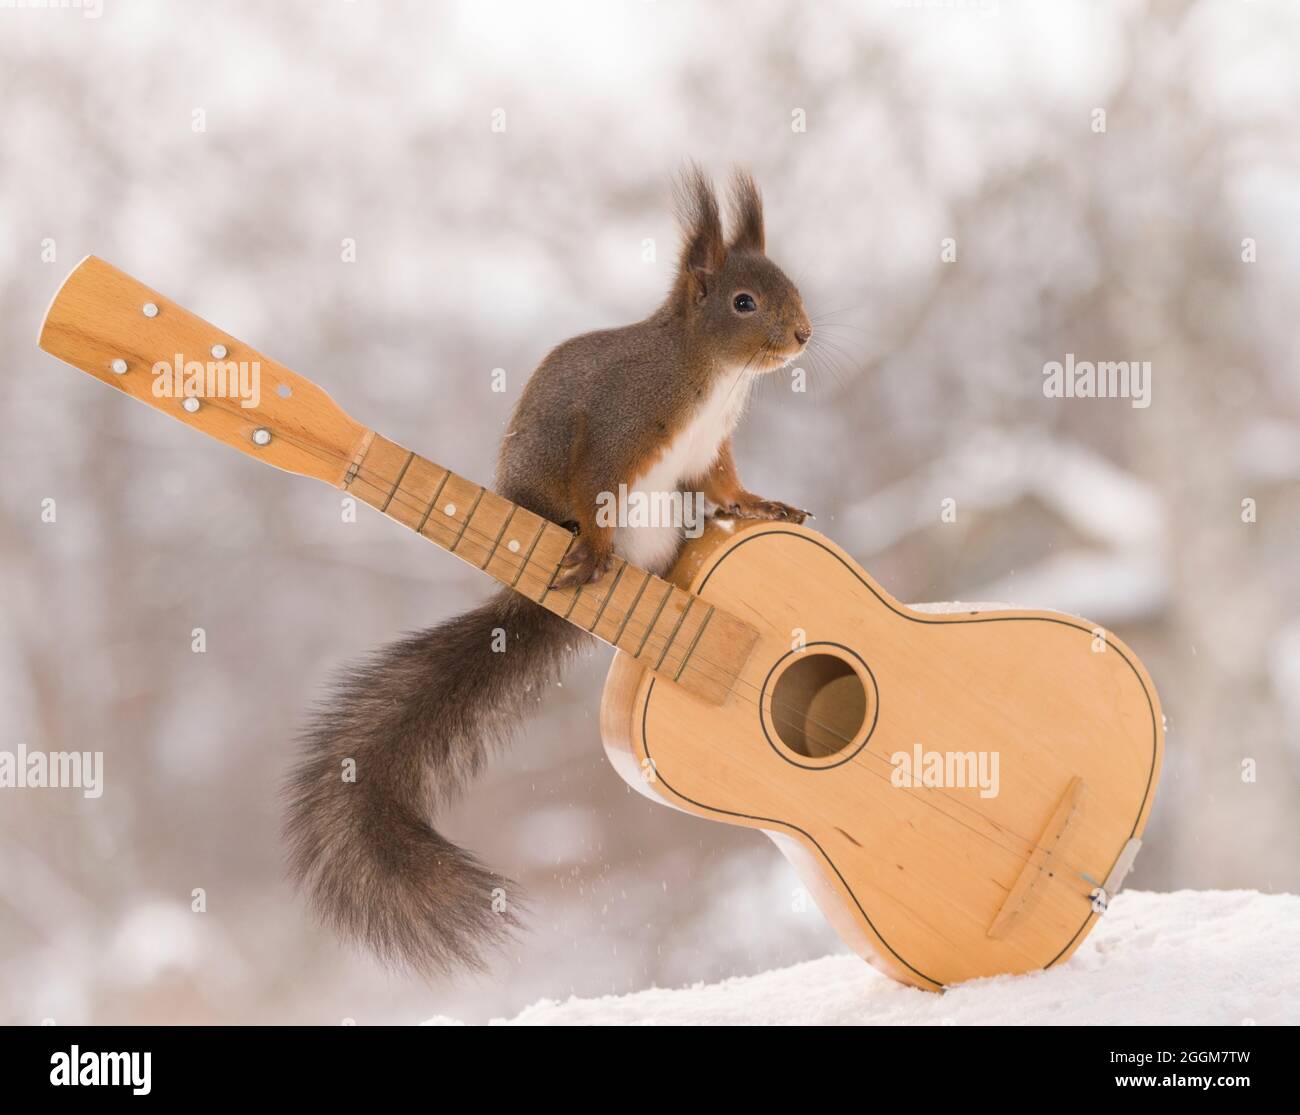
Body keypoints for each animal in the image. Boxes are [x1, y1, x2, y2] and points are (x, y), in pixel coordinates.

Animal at [284, 166, 814, 975]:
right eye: (743, 302)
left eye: (787, 283)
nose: (804, 335)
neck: (711, 375)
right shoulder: (618, 426)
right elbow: (594, 482)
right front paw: (592, 541)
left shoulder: (710, 454)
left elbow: (727, 487)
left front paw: (760, 505)